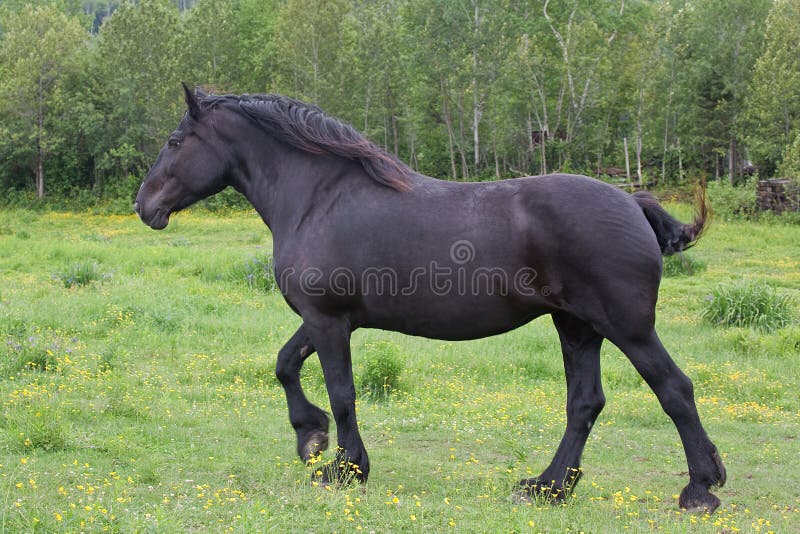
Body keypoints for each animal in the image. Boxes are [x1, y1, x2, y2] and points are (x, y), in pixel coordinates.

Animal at [135, 84, 726, 512]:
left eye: (174, 142)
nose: (145, 205)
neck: (318, 198)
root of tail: (633, 204)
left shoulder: (327, 321)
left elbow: (342, 392)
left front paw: (343, 469)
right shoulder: (329, 319)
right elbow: (285, 365)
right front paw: (311, 438)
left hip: (626, 327)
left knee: (674, 391)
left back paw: (700, 489)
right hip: (577, 328)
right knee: (584, 404)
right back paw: (547, 487)